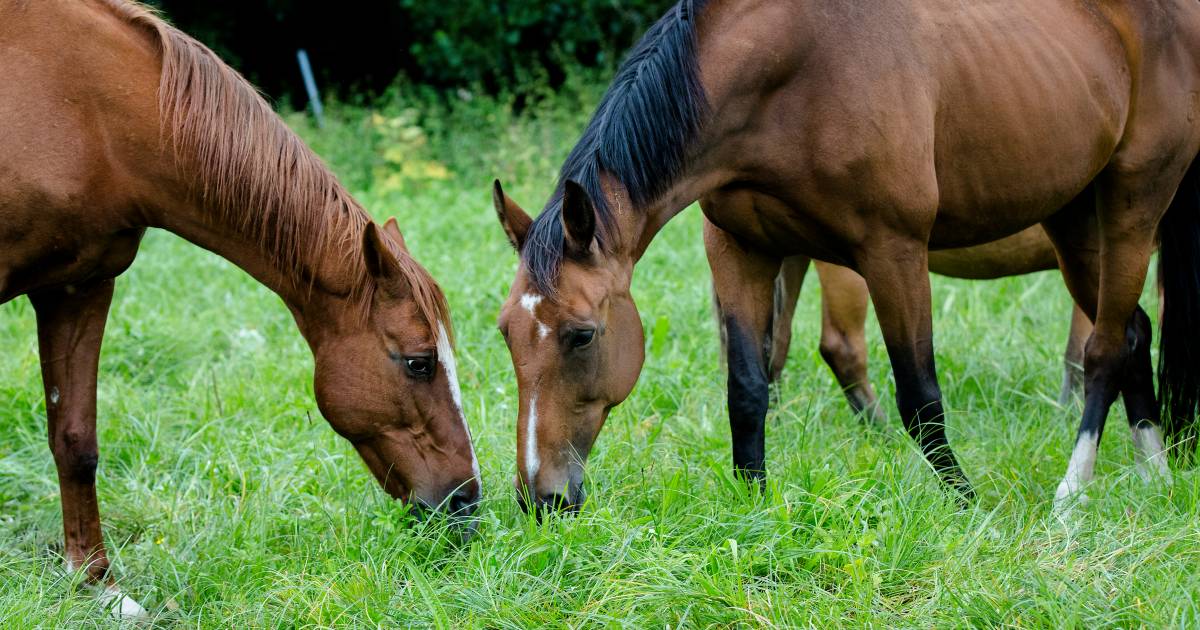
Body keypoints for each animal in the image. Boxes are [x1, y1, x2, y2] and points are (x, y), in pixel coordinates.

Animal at [0, 0, 480, 612]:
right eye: (419, 362)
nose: (467, 500)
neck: (87, 111)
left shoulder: (79, 288)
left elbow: (76, 442)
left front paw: (97, 584)